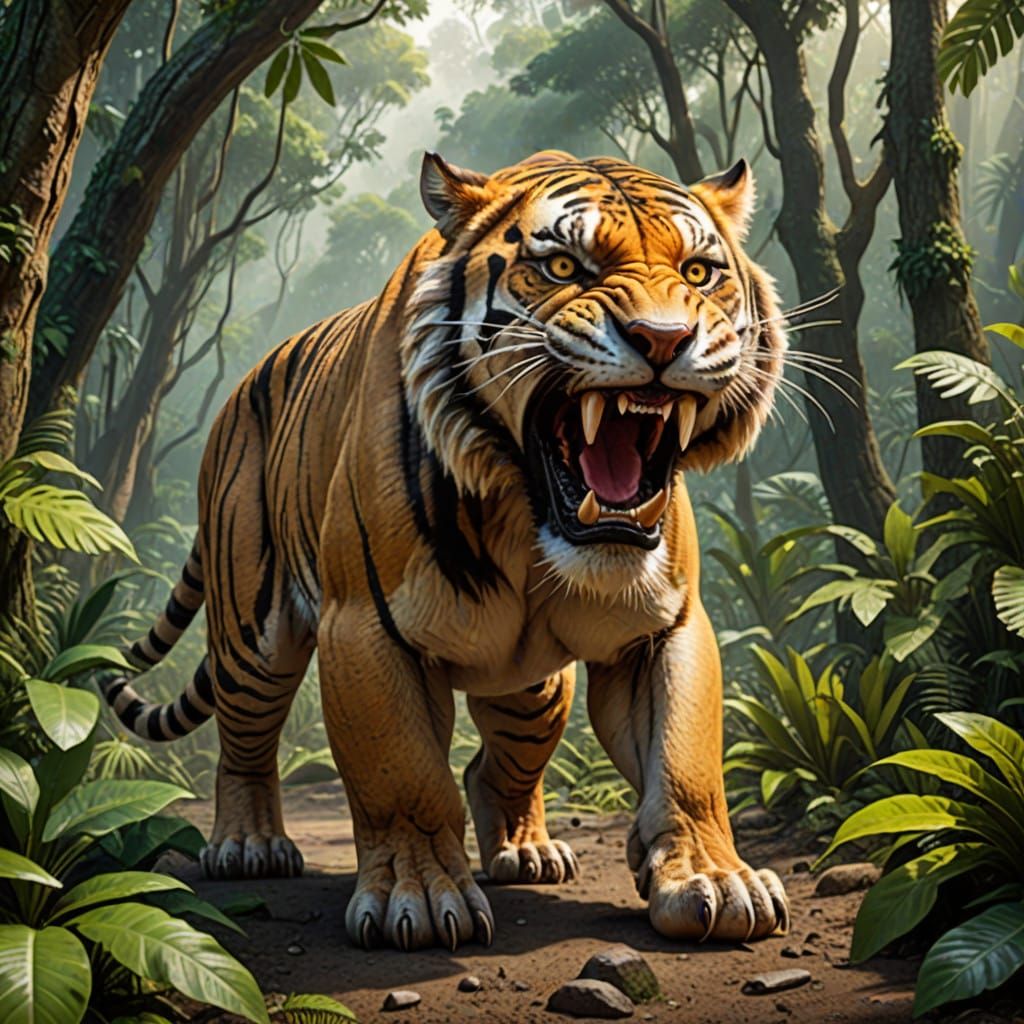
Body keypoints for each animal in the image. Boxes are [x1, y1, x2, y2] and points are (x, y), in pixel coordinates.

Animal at [100, 149, 790, 952]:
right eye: (562, 266)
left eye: (699, 272)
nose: (662, 338)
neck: (529, 517)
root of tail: (236, 392)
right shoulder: (363, 629)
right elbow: (404, 776)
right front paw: (423, 902)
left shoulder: (666, 628)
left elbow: (685, 763)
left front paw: (714, 882)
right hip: (253, 641)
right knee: (244, 742)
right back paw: (248, 846)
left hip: (533, 687)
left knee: (501, 764)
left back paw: (526, 850)